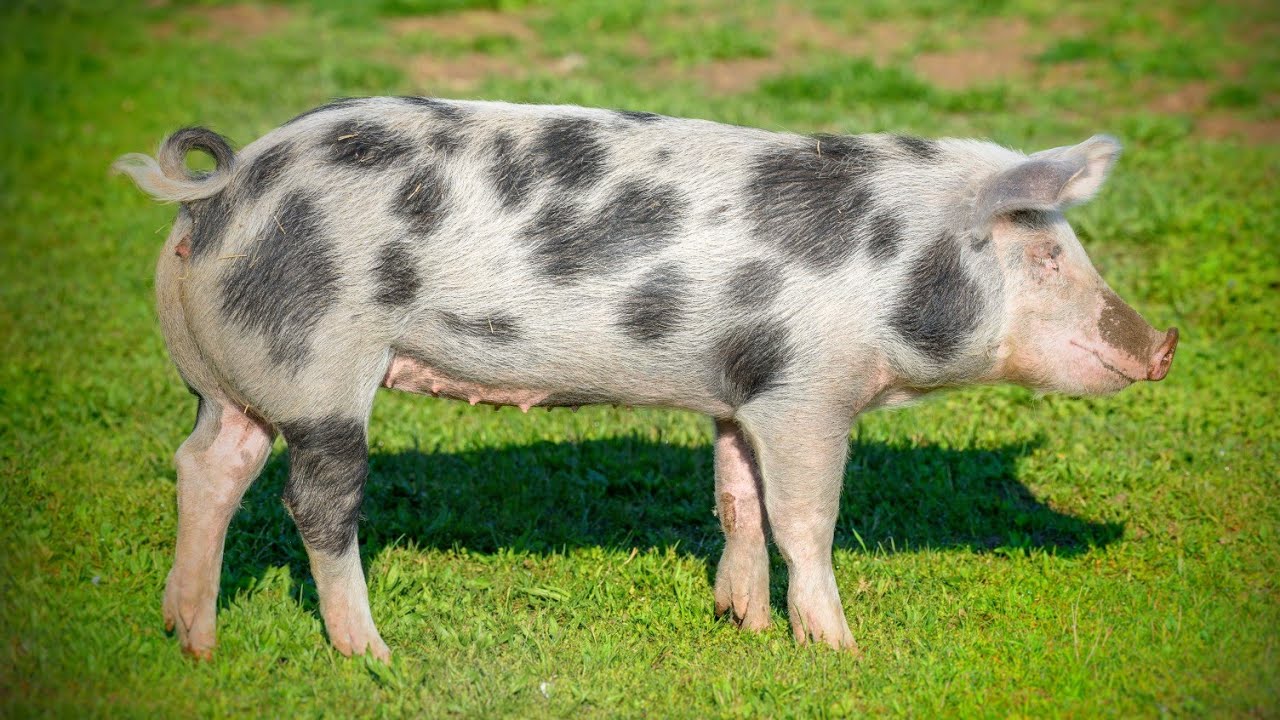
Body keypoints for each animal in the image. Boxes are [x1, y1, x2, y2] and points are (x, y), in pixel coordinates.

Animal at [114, 97, 1178, 661]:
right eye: (1048, 259)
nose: (1162, 342)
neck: (892, 267)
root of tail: (221, 189)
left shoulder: (742, 390)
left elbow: (737, 501)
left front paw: (742, 621)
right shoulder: (807, 391)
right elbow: (807, 519)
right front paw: (839, 650)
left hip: (235, 378)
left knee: (204, 466)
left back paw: (191, 638)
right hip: (326, 370)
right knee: (317, 503)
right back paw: (370, 653)